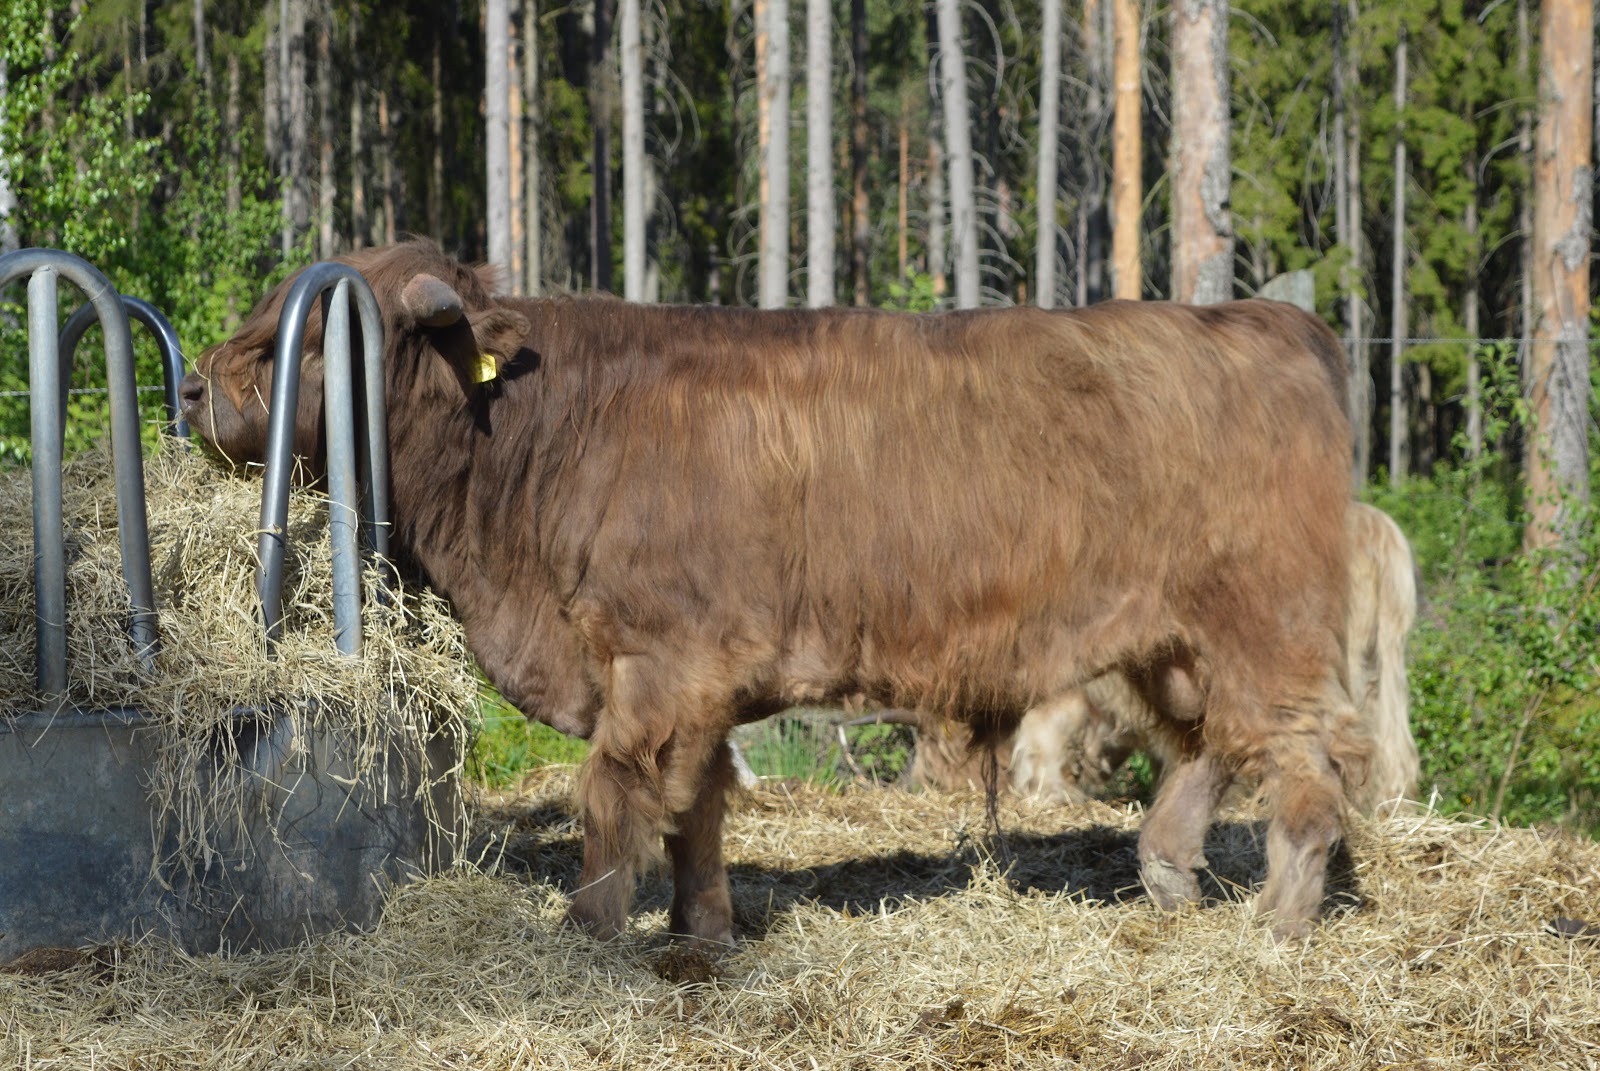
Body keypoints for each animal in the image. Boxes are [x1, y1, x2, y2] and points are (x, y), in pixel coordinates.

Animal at [180, 239, 1363, 945]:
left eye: (322, 335)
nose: (191, 385)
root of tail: (1263, 322)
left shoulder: (661, 662)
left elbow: (613, 797)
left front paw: (587, 933)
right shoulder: (696, 679)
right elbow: (696, 807)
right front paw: (702, 928)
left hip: (1266, 622)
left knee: (1305, 771)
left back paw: (1280, 921)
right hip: (1172, 639)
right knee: (1214, 743)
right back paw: (1167, 874)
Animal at [908, 501, 1420, 816]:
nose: (930, 782)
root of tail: (1377, 529)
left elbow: (1044, 737)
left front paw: (1051, 793)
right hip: (1386, 656)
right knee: (1394, 743)